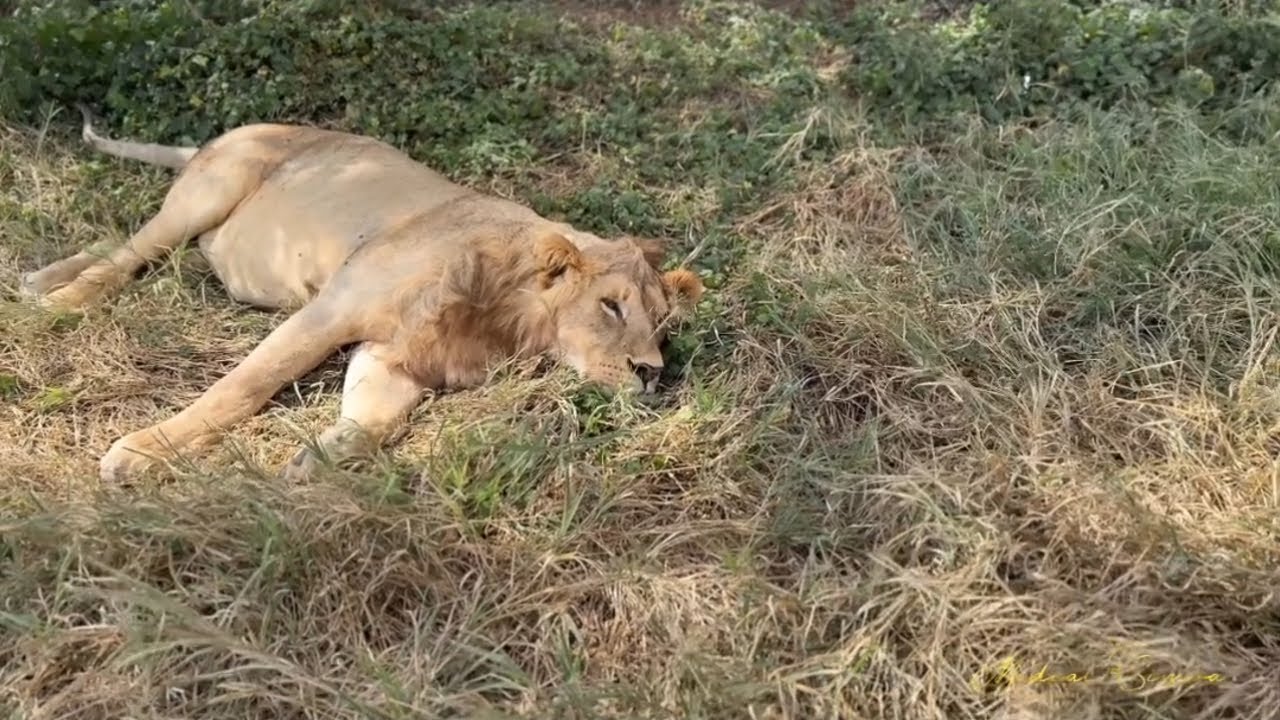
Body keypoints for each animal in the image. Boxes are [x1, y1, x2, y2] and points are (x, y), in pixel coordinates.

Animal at [21, 108, 705, 483]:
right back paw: (63, 299)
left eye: (662, 326)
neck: (512, 313)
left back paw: (41, 280)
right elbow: (242, 387)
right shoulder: (328, 311)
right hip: (214, 186)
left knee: (133, 246)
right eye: (611, 306)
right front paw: (142, 452)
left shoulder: (396, 357)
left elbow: (376, 422)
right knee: (131, 252)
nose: (652, 373)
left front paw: (318, 458)